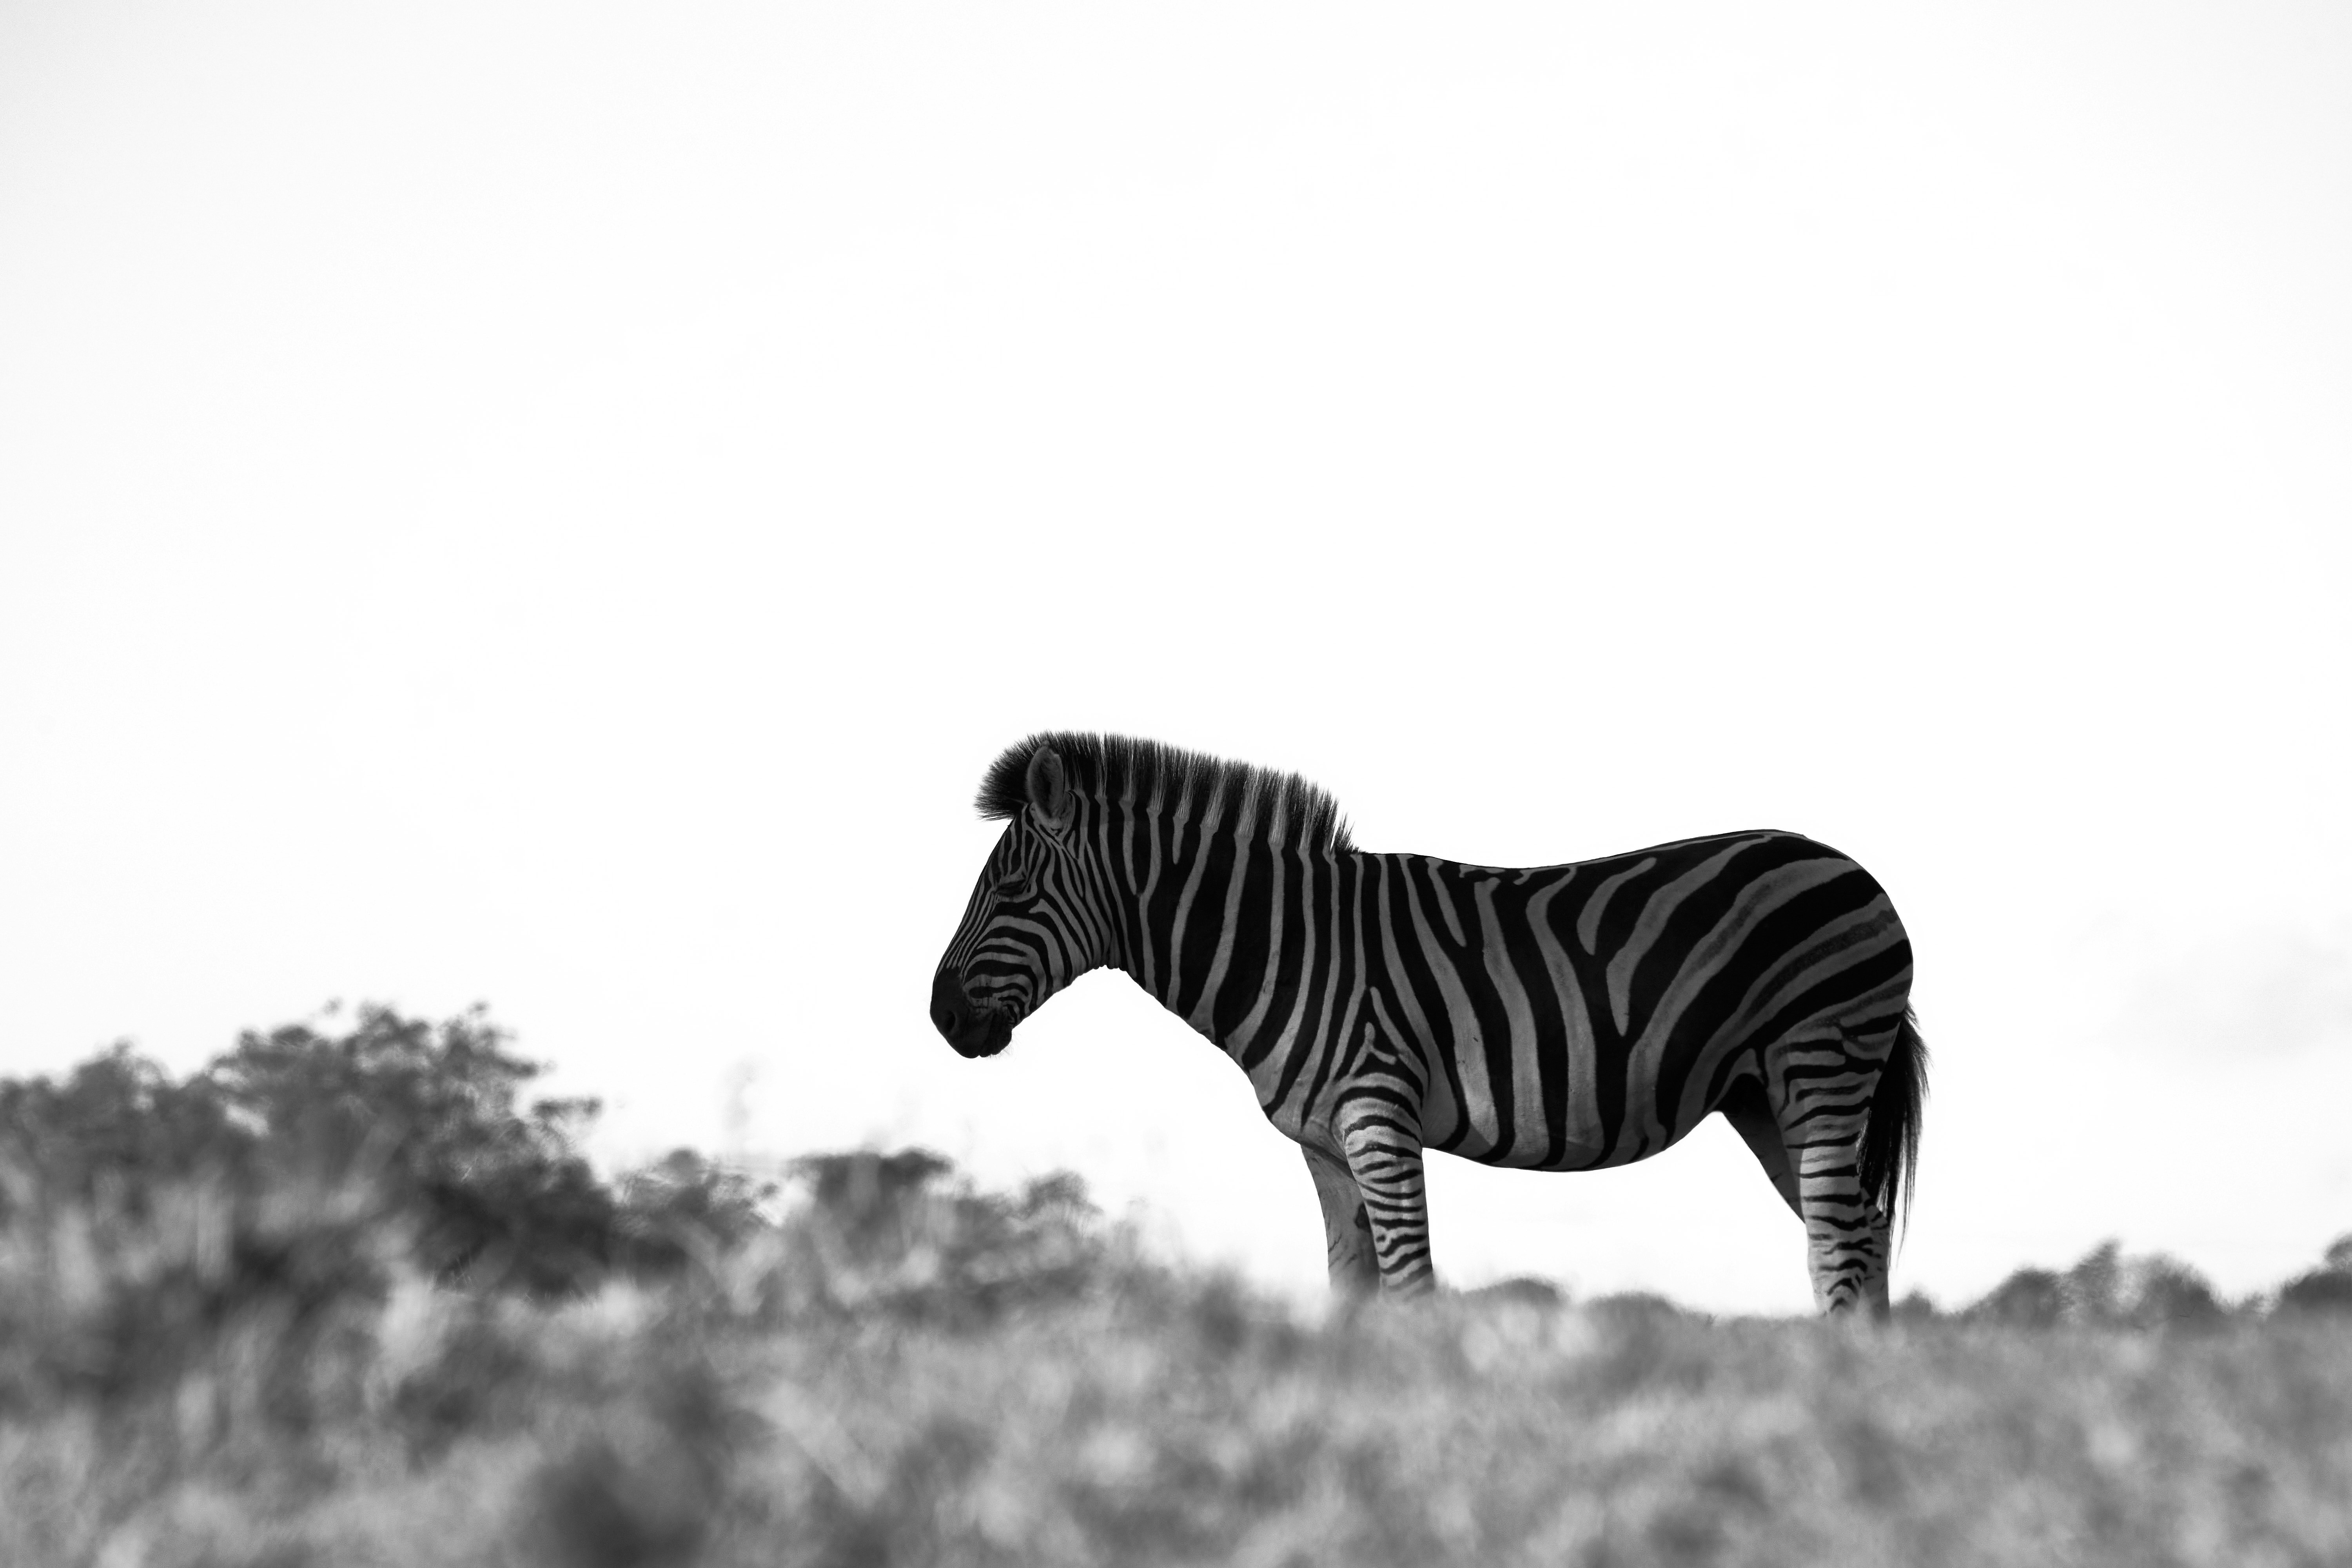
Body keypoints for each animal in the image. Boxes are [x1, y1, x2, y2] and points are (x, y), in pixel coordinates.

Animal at [930, 733, 1927, 1315]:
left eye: (1009, 892)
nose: (940, 1016)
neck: (1287, 944)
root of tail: (1855, 872)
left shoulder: (1379, 1114)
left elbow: (1412, 1285)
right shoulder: (1324, 1143)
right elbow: (1351, 1290)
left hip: (1821, 1057)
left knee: (1842, 1240)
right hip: (1763, 1096)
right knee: (1858, 1232)